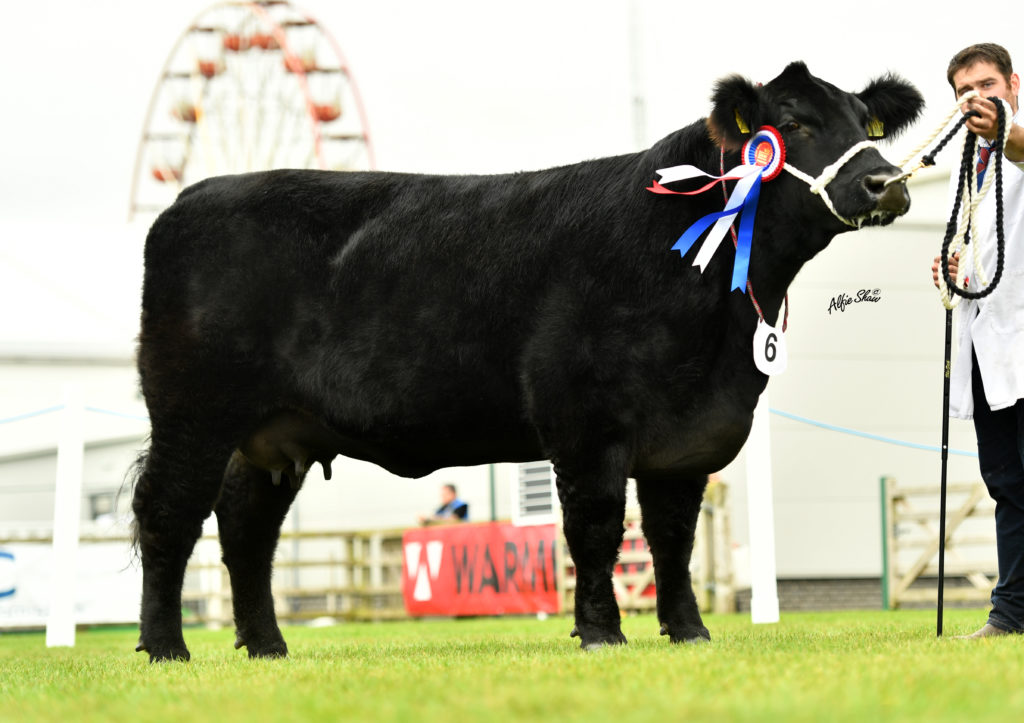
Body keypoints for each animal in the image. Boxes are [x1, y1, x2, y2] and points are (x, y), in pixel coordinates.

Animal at [130, 61, 924, 661]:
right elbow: (597, 529)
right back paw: (166, 646)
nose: (886, 182)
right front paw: (602, 633)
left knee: (245, 526)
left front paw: (688, 631)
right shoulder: (585, 420)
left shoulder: (688, 433)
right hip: (191, 410)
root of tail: (193, 198)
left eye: (865, 124)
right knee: (167, 511)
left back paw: (266, 645)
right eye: (793, 124)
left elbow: (671, 537)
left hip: (275, 433)